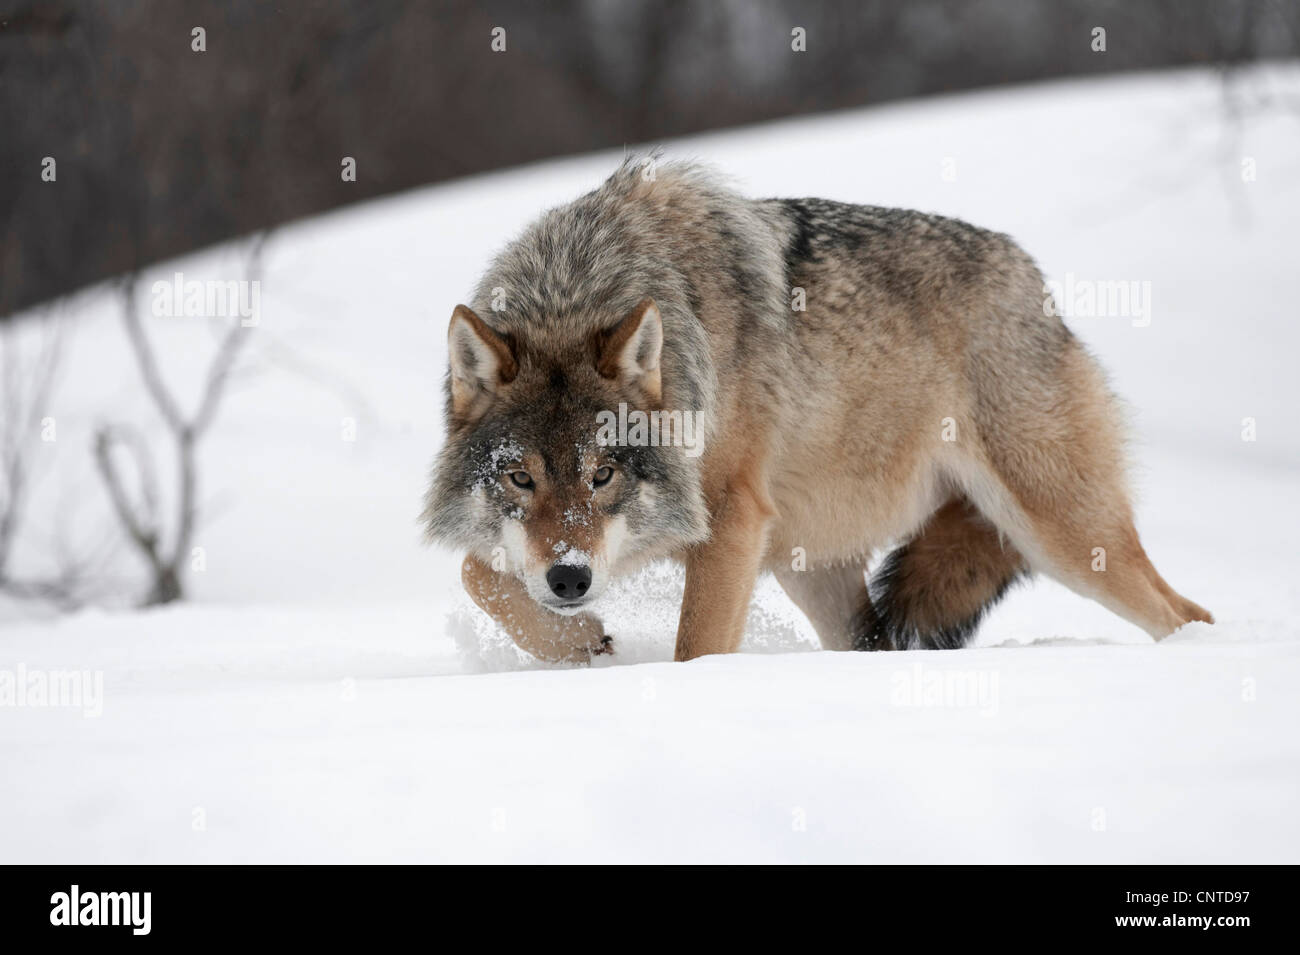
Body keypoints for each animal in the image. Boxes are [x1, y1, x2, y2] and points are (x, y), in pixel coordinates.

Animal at [422, 158, 1212, 663]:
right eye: (520, 479)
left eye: (603, 474)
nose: (570, 581)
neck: (581, 285)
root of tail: (1033, 279)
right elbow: (473, 574)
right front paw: (575, 642)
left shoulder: (731, 522)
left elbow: (694, 651)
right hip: (818, 572)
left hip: (1066, 537)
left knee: (1185, 612)